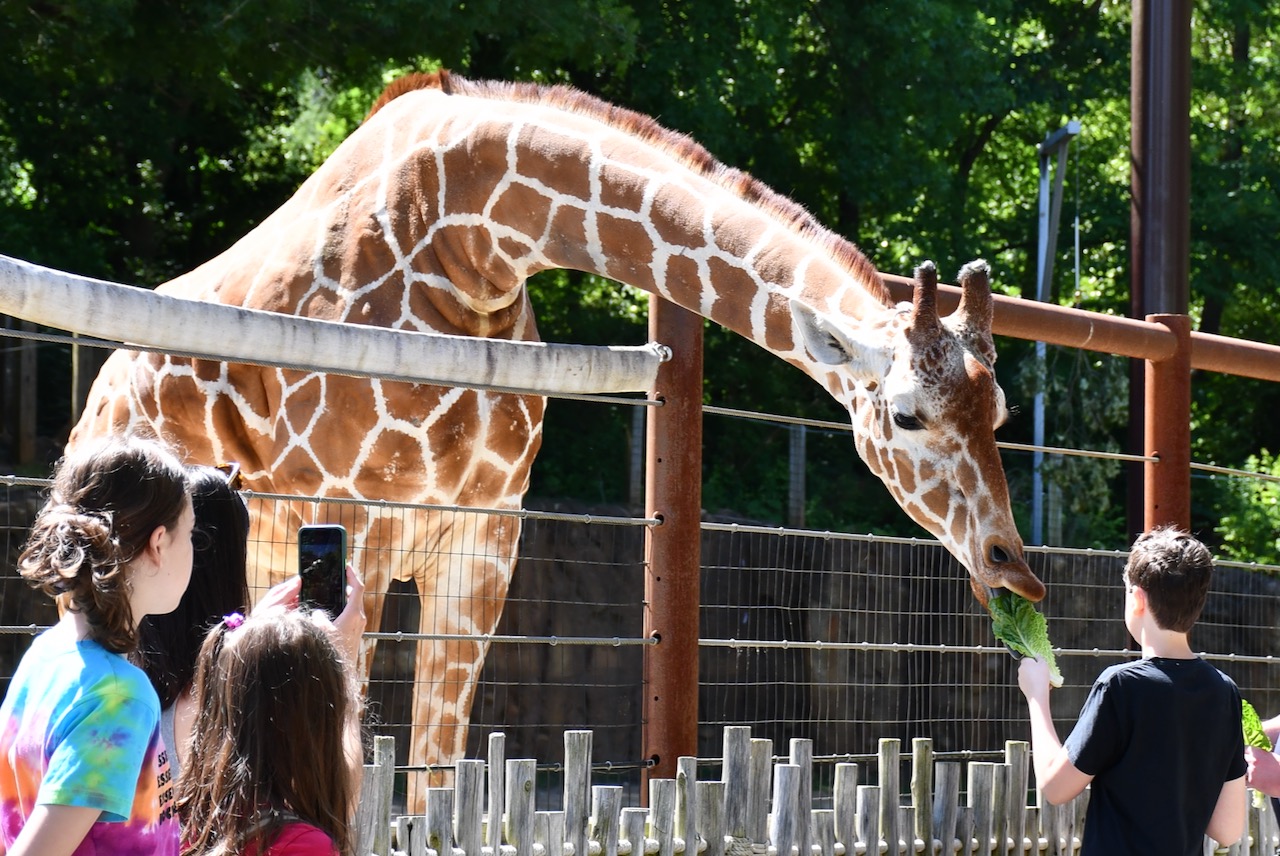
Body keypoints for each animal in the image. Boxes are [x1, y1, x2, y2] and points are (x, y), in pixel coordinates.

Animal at [69, 70, 1045, 803]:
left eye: (1000, 414)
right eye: (908, 415)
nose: (1014, 567)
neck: (473, 241)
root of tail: (93, 401)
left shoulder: (486, 537)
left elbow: (433, 774)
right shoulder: (362, 522)